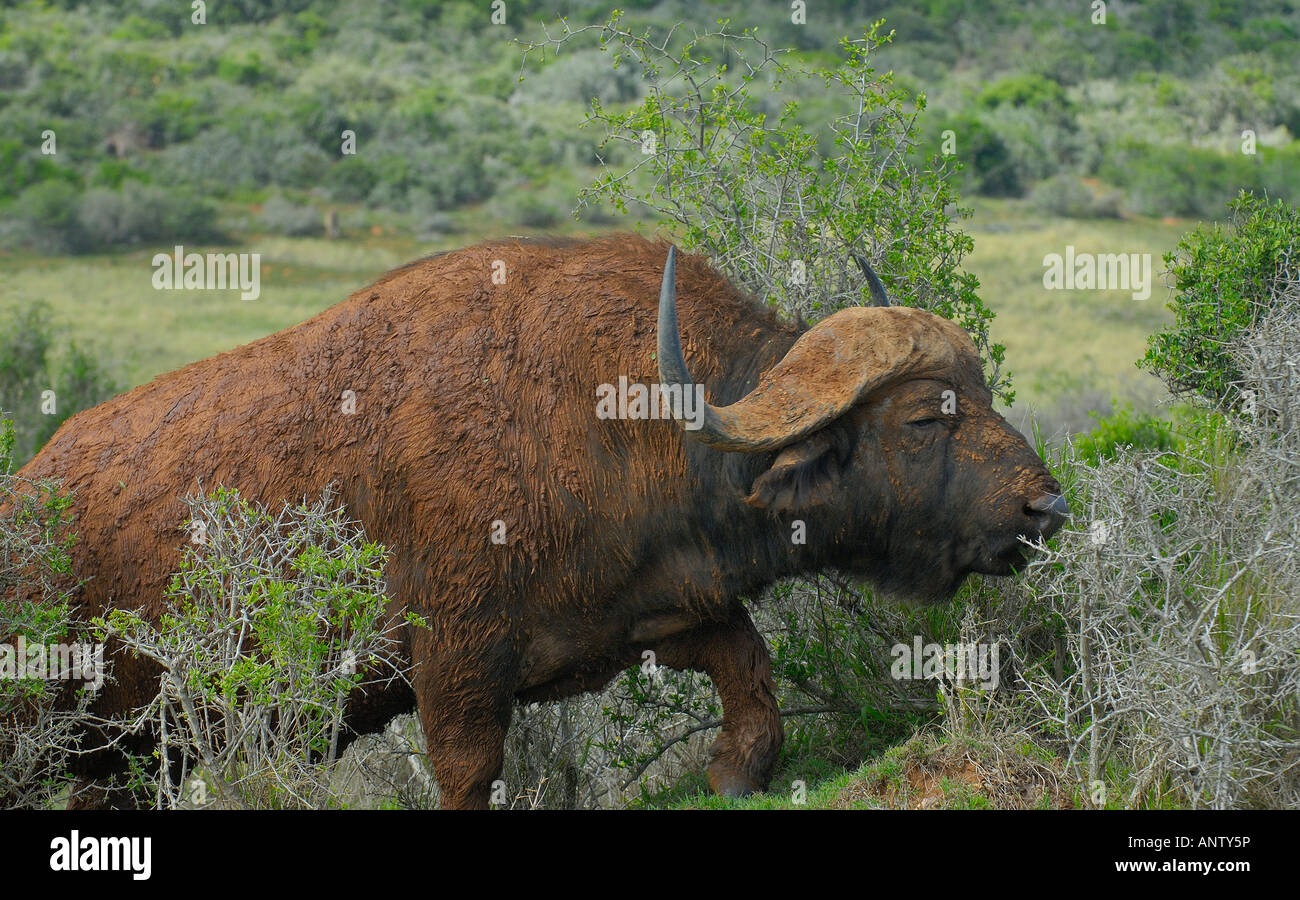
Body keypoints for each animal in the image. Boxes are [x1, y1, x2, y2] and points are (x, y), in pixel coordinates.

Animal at [15, 234, 1066, 808]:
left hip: (134, 753)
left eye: (979, 392)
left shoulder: (659, 608)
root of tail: (24, 501)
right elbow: (469, 771)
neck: (626, 410)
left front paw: (734, 773)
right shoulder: (456, 666)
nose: (1045, 506)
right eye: (924, 416)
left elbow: (752, 679)